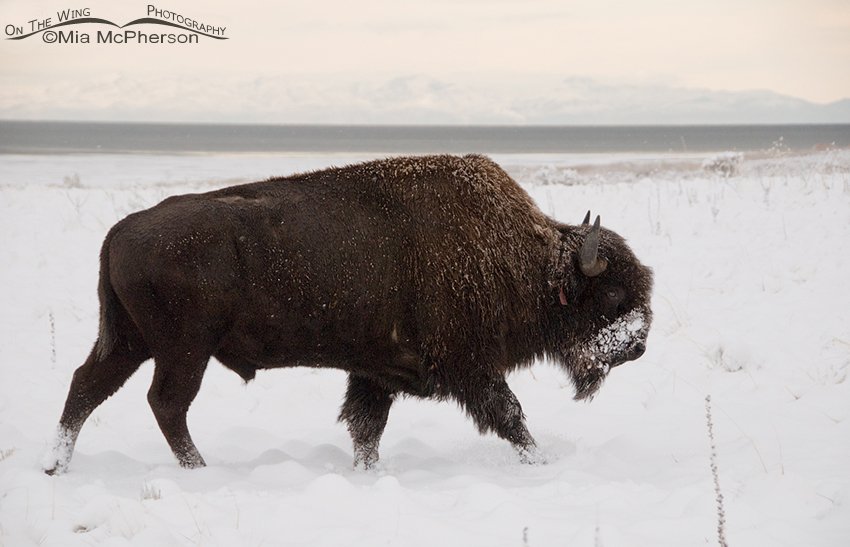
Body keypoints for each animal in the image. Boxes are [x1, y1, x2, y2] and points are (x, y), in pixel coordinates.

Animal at [43, 154, 653, 474]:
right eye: (612, 296)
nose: (638, 345)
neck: (524, 260)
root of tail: (120, 231)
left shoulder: (374, 373)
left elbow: (366, 428)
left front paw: (368, 473)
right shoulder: (471, 368)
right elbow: (510, 415)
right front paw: (540, 462)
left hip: (131, 343)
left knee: (86, 387)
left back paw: (58, 465)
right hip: (183, 350)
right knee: (165, 403)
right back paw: (199, 469)